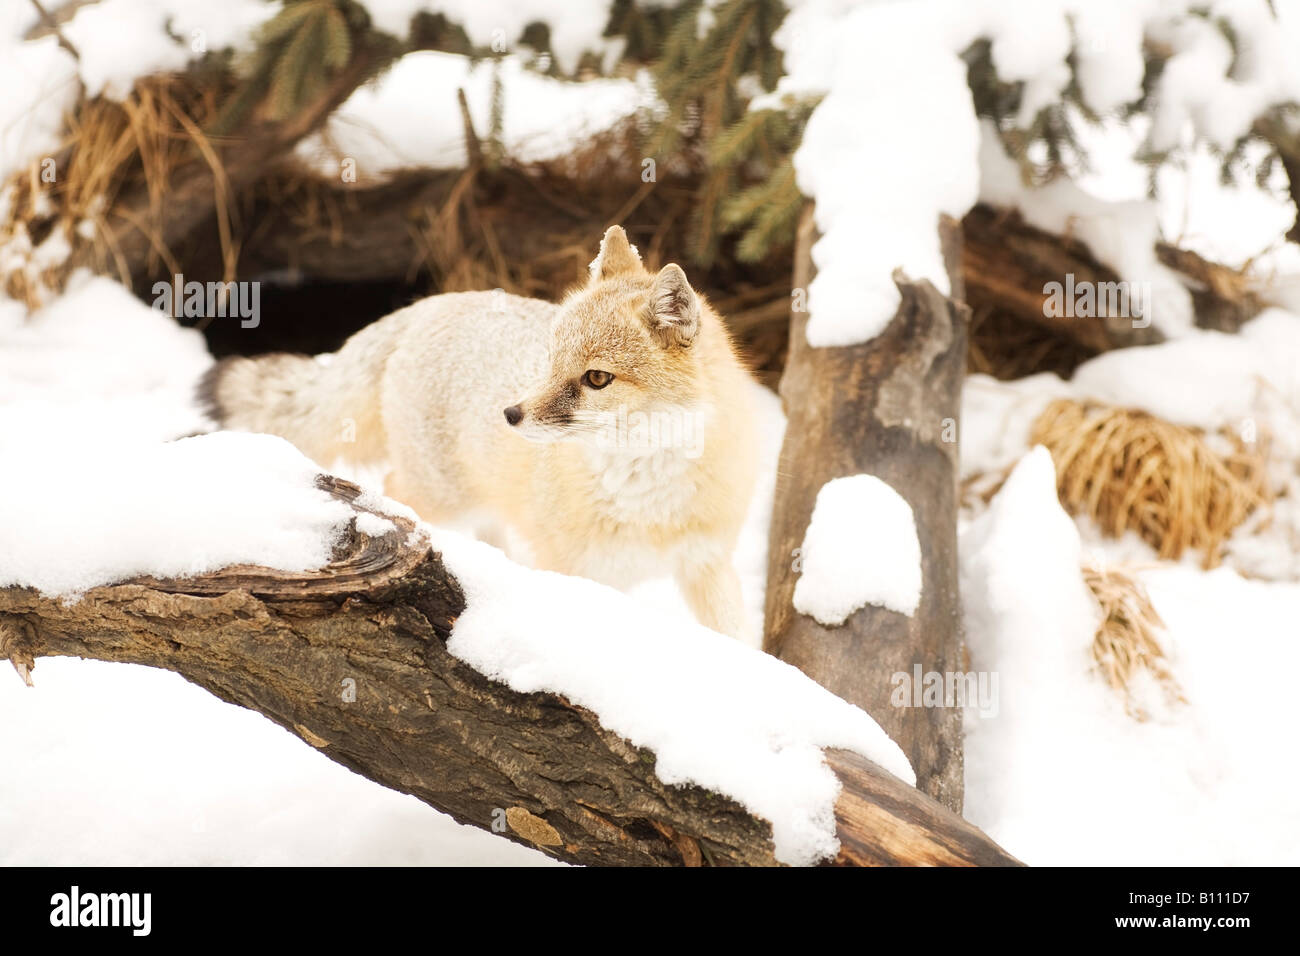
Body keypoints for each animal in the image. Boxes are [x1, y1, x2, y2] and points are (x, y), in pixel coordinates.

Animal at [200, 226, 759, 637]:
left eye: (596, 378)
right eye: (549, 362)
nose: (510, 414)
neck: (650, 500)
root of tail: (431, 305)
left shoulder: (708, 565)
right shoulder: (579, 572)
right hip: (441, 494)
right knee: (399, 495)